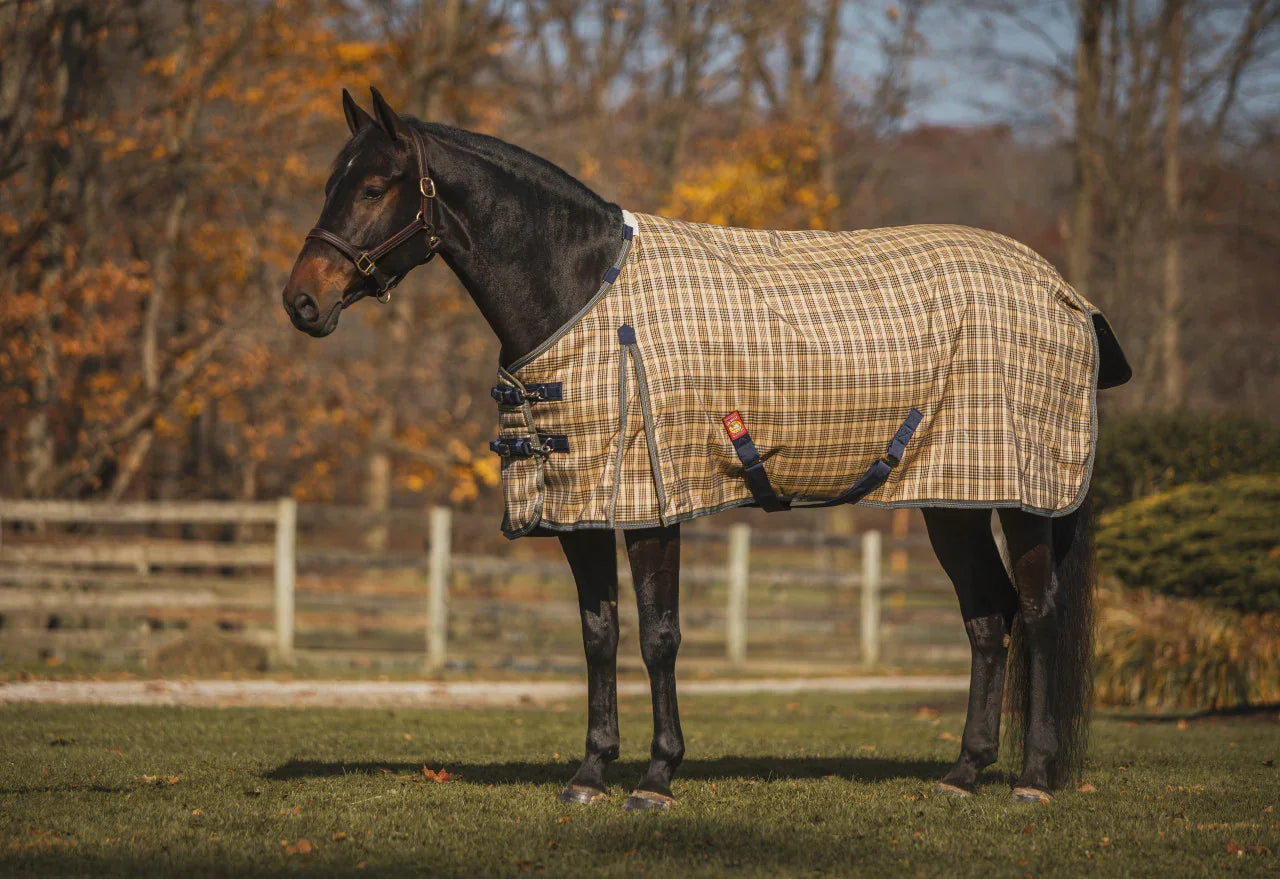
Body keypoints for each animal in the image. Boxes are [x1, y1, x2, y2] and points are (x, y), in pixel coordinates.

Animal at [282, 87, 1131, 810]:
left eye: (374, 187)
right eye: (331, 182)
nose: (301, 301)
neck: (583, 292)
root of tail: (1066, 295)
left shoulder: (656, 503)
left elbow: (658, 636)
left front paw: (657, 777)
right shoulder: (583, 502)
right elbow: (599, 634)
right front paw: (590, 772)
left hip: (1024, 493)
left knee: (1037, 612)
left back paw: (1033, 778)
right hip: (951, 497)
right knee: (988, 617)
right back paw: (963, 771)